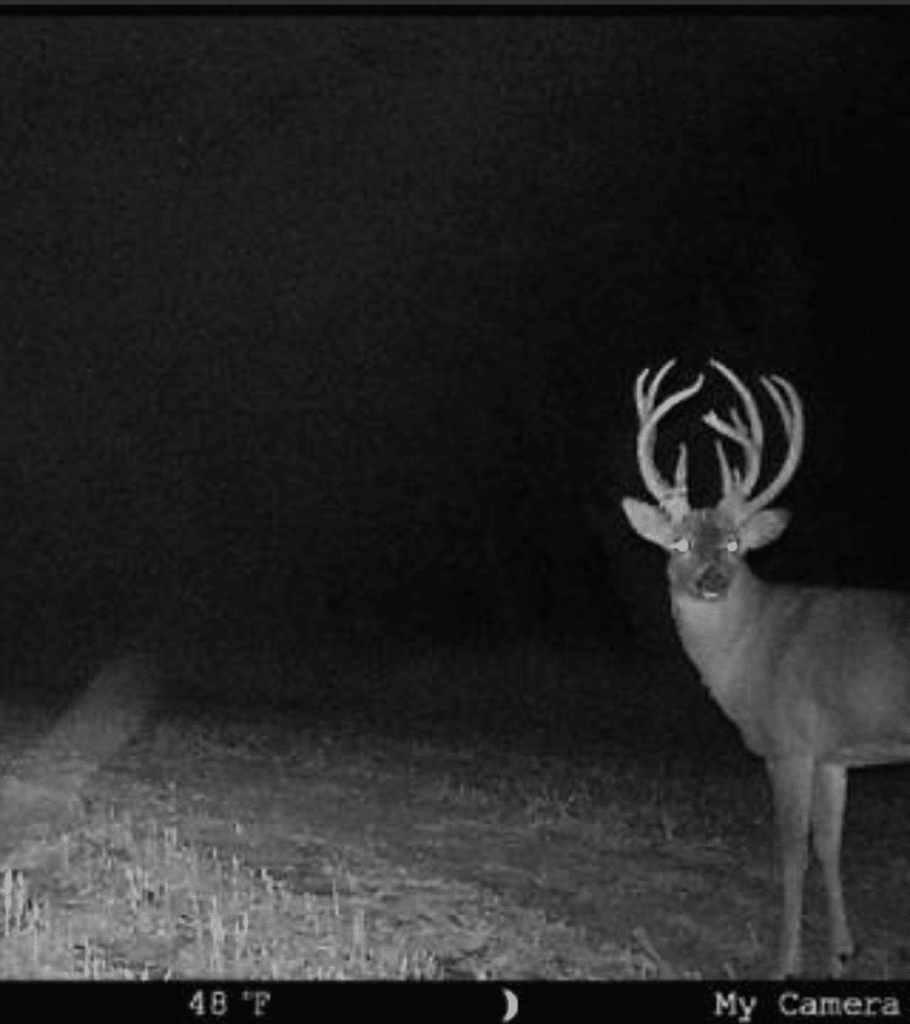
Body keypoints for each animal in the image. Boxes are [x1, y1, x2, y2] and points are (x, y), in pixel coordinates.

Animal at [595, 357, 910, 978]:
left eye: (736, 543)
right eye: (679, 543)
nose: (712, 580)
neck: (753, 648)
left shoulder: (789, 743)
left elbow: (791, 854)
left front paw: (784, 961)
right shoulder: (834, 753)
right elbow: (829, 845)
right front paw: (842, 951)